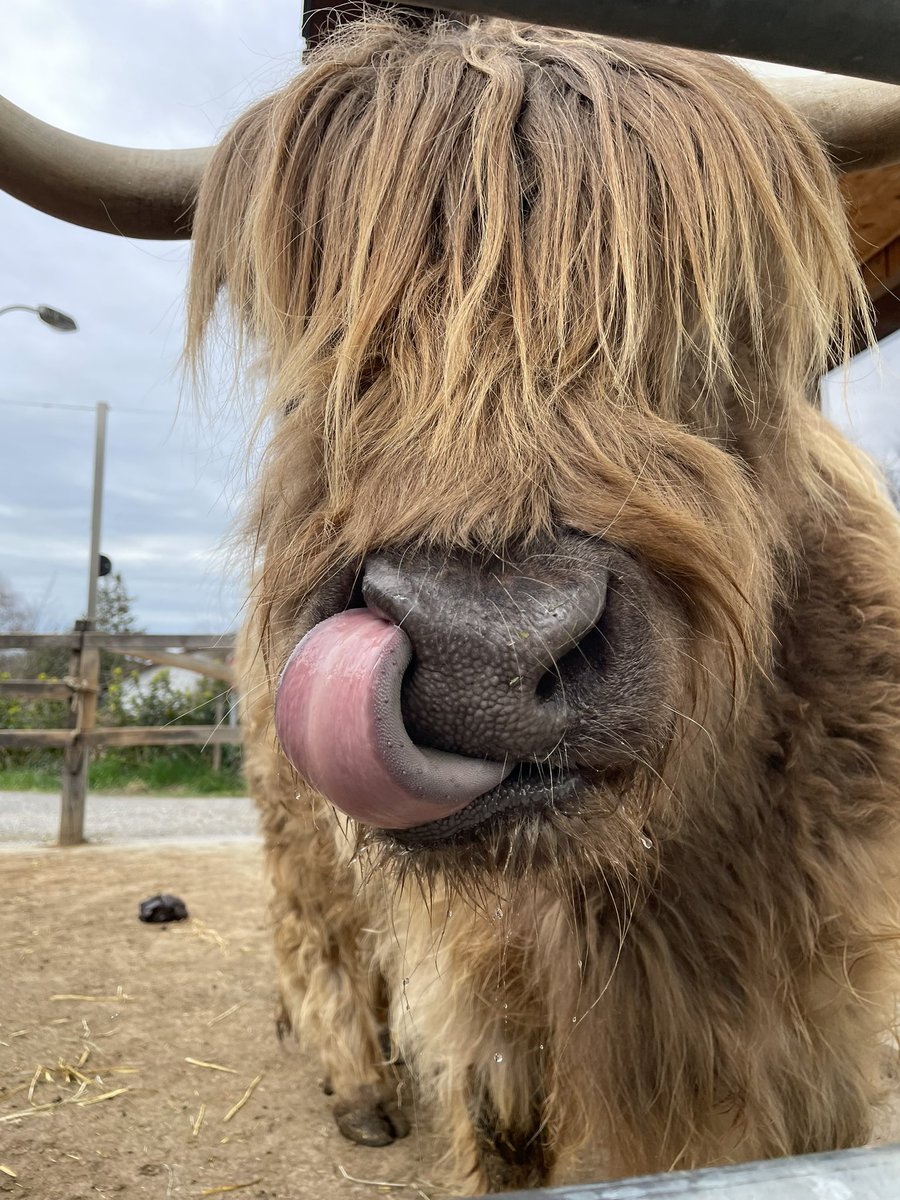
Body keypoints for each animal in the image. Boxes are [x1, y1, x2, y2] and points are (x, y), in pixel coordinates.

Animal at [5, 10, 900, 1194]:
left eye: (720, 322)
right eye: (332, 339)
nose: (486, 648)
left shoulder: (825, 1036)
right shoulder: (497, 1023)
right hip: (296, 824)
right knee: (320, 939)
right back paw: (360, 1093)